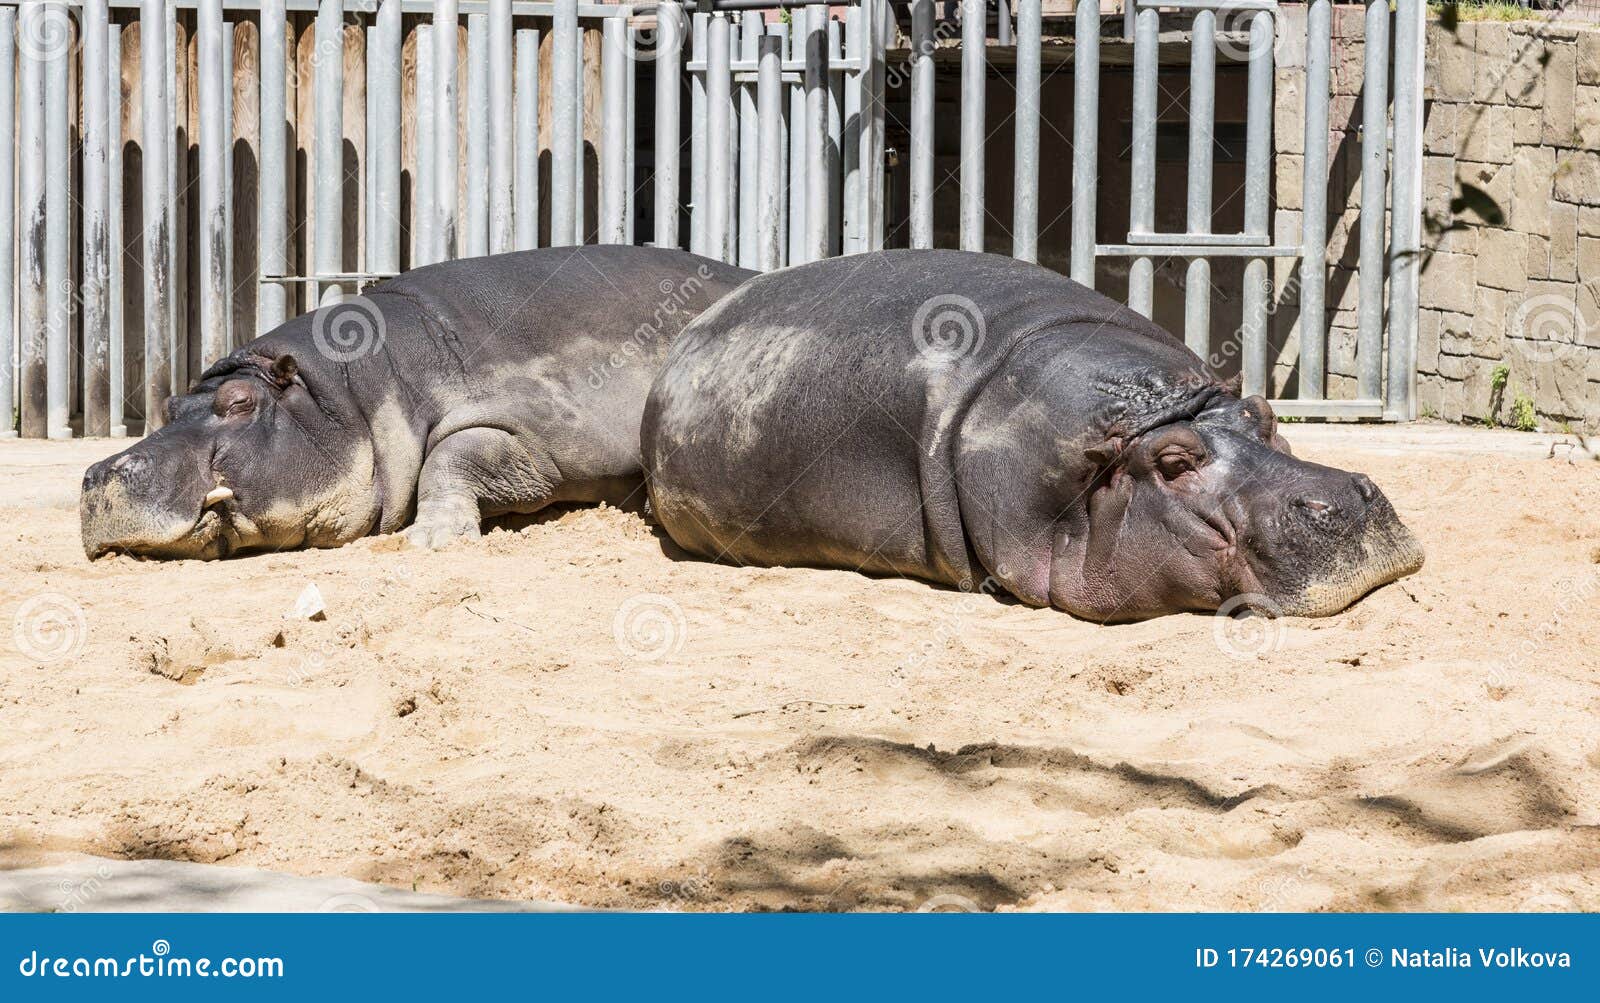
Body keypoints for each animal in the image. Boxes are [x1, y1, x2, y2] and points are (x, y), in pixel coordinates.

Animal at [81, 245, 753, 559]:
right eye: (169, 405)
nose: (99, 473)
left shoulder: (528, 427)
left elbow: (455, 456)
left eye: (240, 401)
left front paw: (431, 539)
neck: (348, 392)